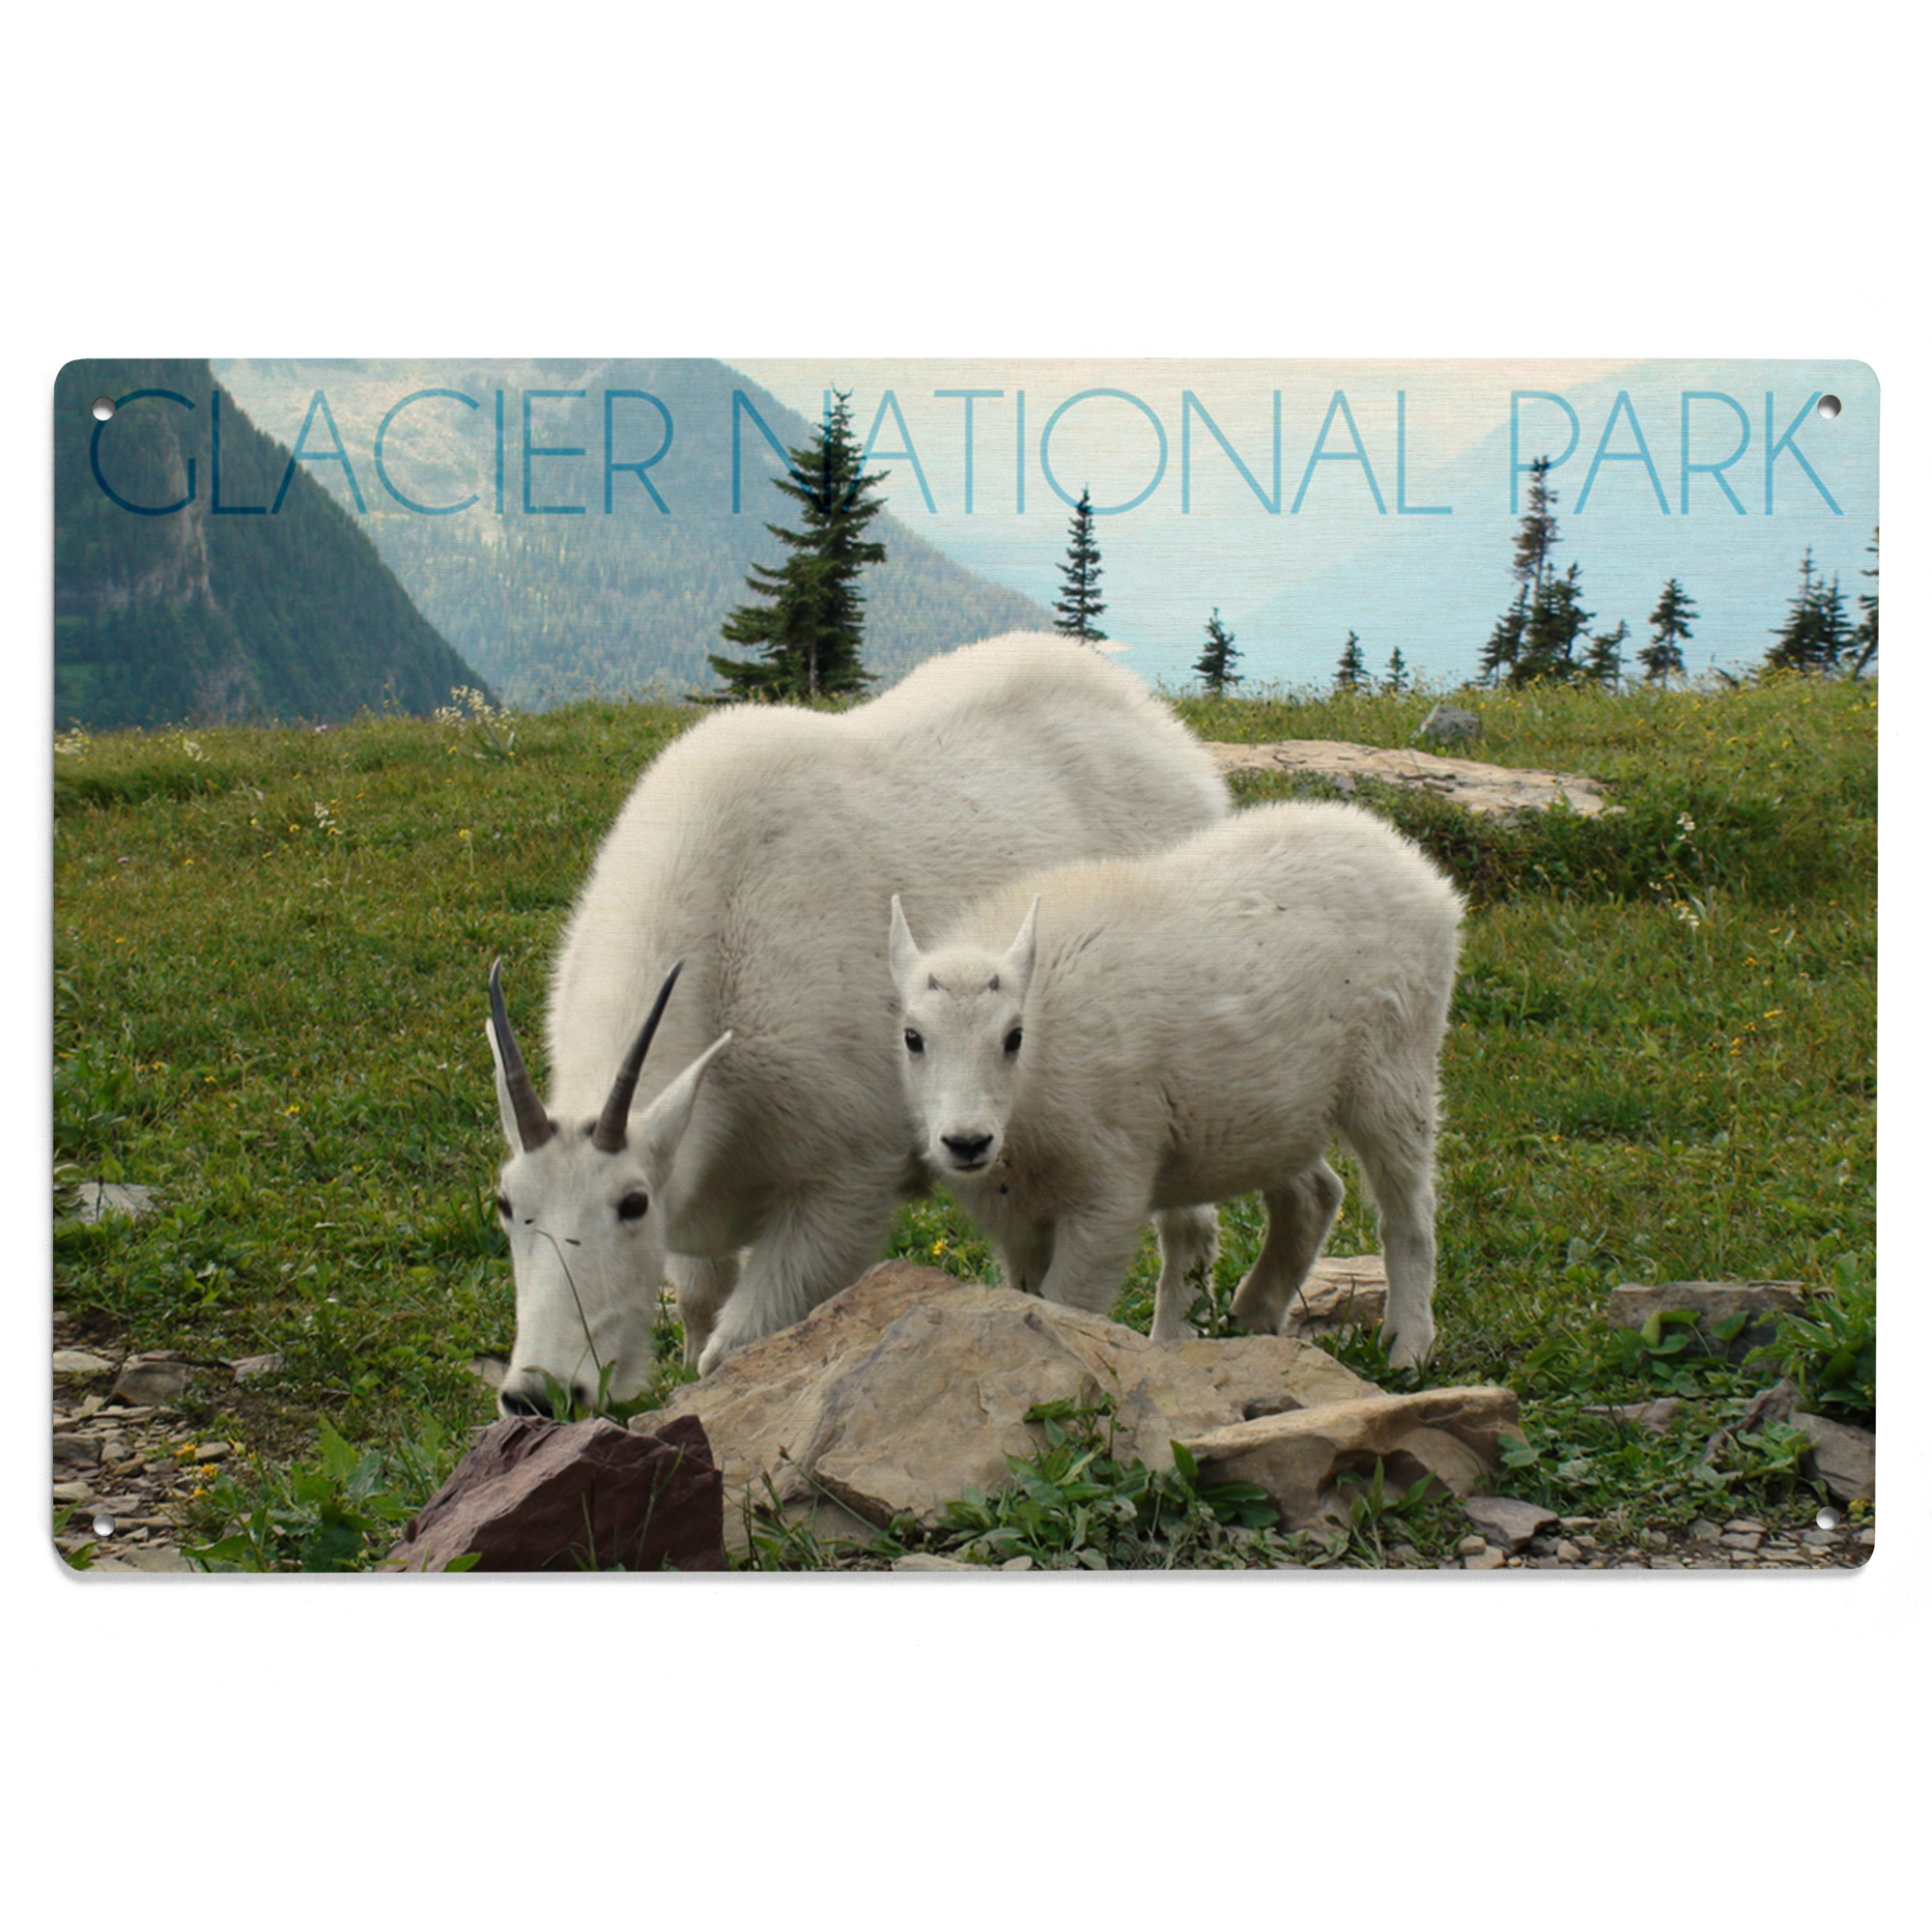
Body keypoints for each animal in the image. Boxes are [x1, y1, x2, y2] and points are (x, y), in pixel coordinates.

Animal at [888, 800, 1463, 1368]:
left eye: (1014, 1037)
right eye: (912, 1038)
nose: (966, 1143)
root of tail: (1409, 859)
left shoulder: (1106, 1194)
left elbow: (1067, 1303)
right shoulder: (1019, 1216)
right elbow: (1028, 1295)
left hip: (1394, 1066)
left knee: (1408, 1214)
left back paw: (1407, 1346)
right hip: (1278, 1108)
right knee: (1313, 1195)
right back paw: (1246, 1318)